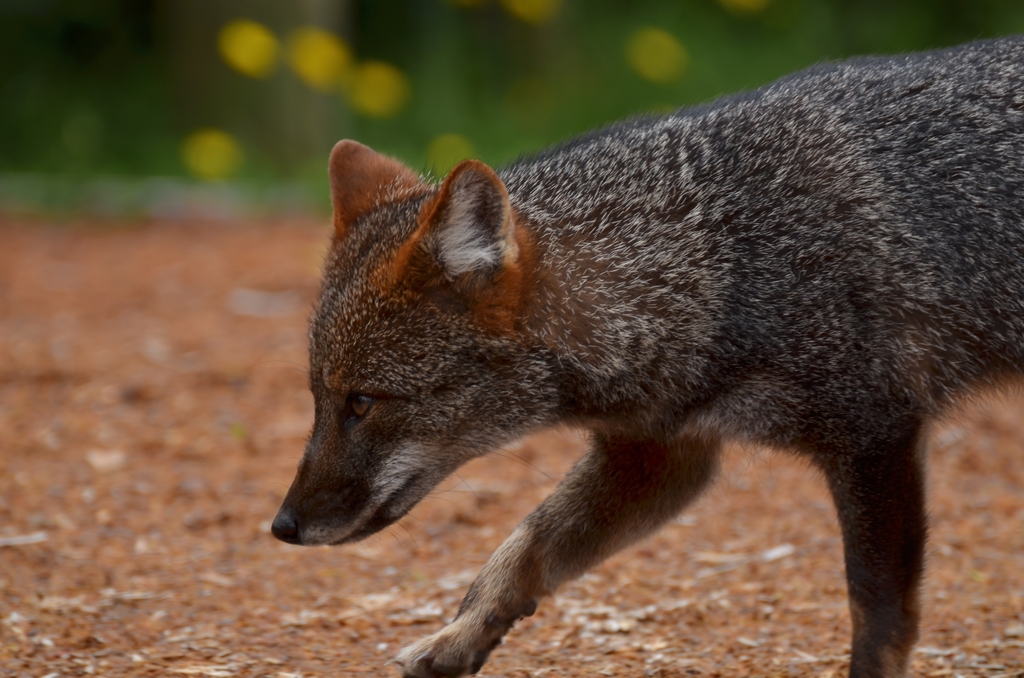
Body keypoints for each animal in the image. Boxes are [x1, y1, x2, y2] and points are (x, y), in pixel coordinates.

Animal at [271, 36, 1024, 678]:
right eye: (318, 398)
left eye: (363, 402)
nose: (282, 526)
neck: (719, 256)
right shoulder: (660, 452)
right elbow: (524, 548)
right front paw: (459, 638)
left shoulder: (875, 435)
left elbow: (878, 609)